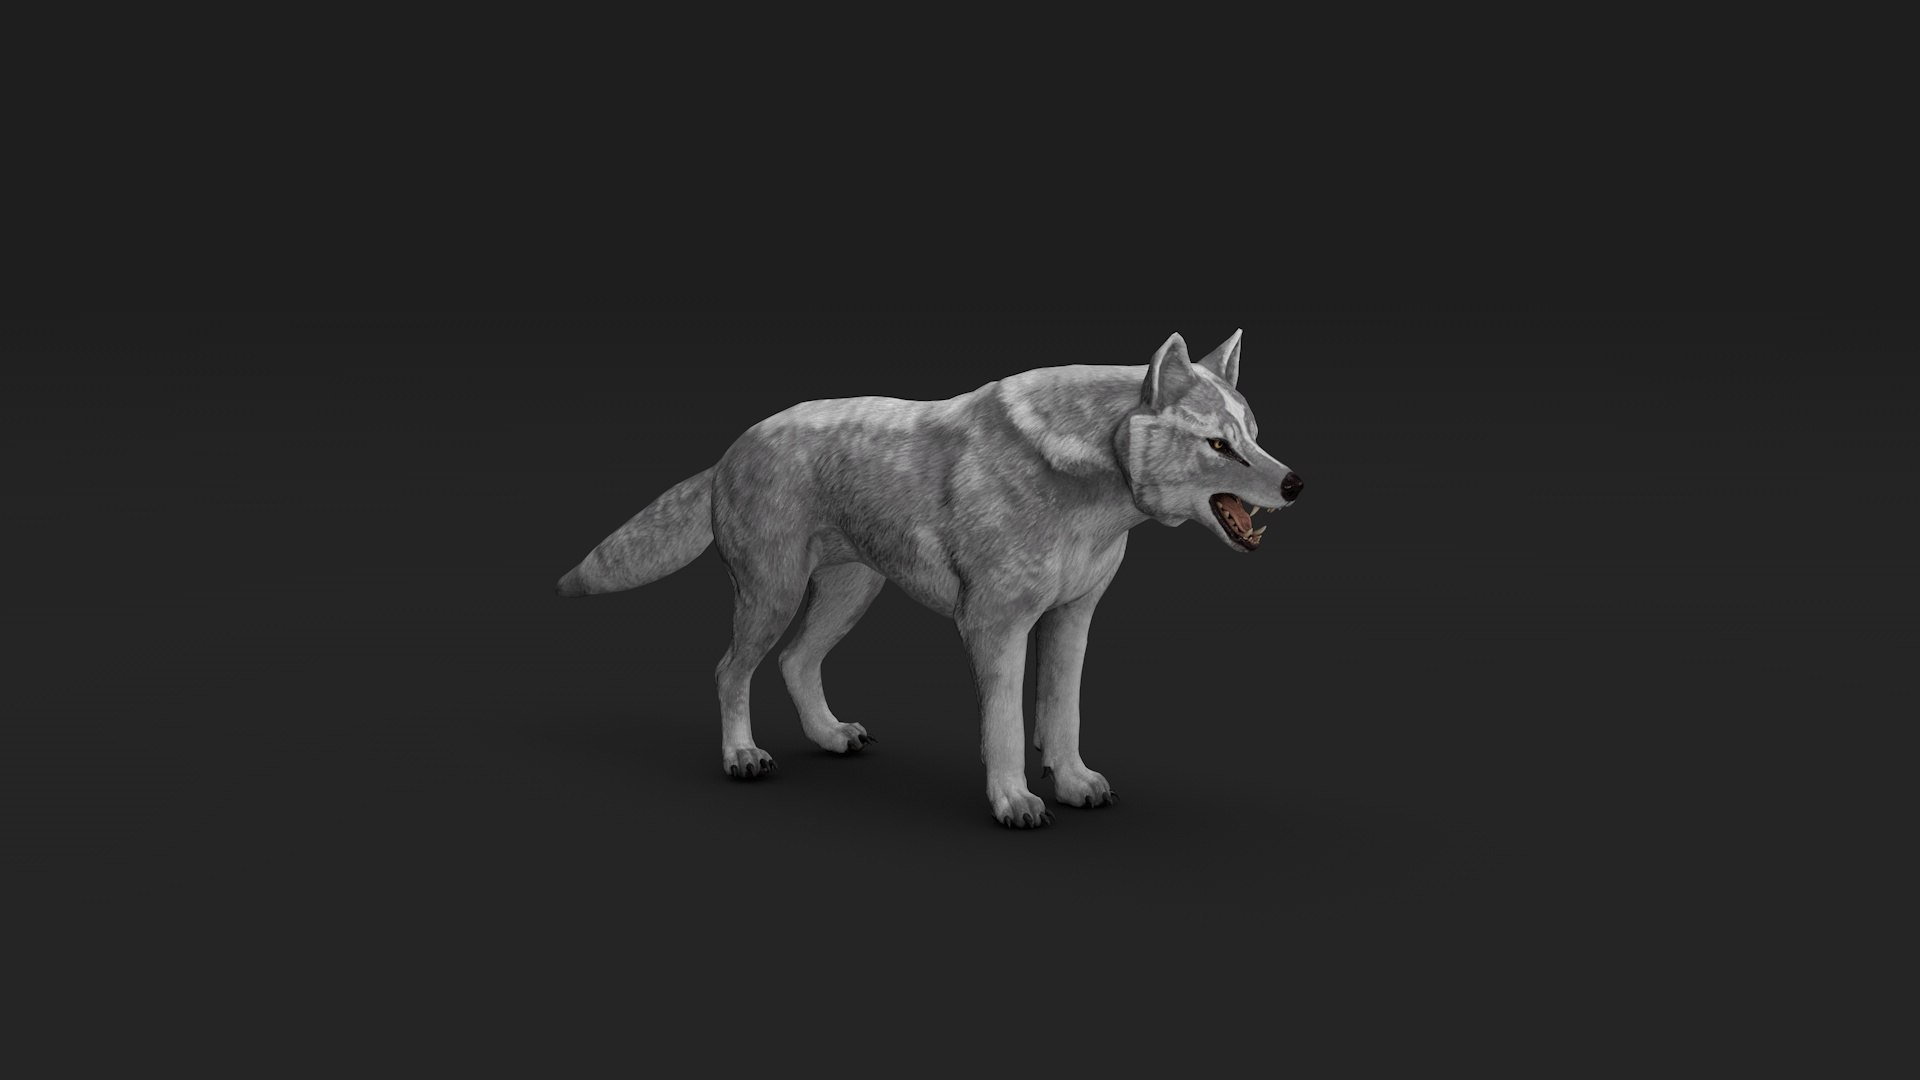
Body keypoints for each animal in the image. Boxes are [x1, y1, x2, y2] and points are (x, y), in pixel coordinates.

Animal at [556, 330, 1303, 828]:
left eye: (1253, 433)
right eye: (1218, 444)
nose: (1296, 483)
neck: (1090, 477)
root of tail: (728, 450)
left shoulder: (1071, 619)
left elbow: (1062, 714)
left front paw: (1073, 782)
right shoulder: (993, 627)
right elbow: (1005, 726)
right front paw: (1014, 800)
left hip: (849, 594)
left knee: (796, 662)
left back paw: (830, 736)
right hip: (774, 595)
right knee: (728, 670)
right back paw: (742, 754)